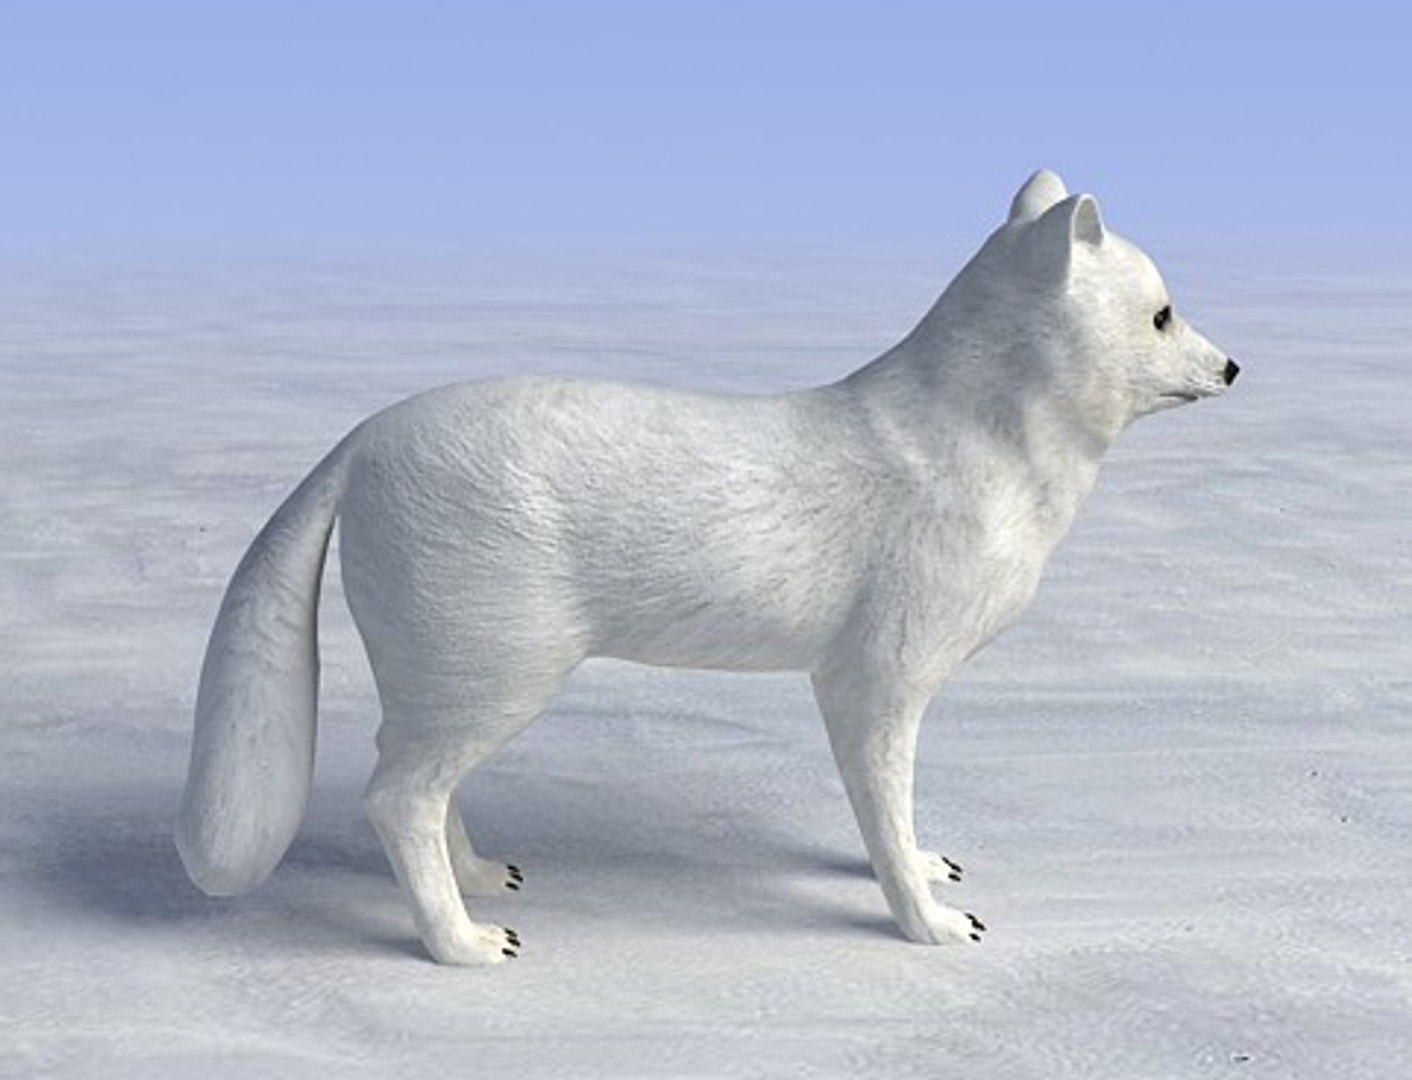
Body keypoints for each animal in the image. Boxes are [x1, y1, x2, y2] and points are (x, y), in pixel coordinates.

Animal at [177, 170, 1239, 965]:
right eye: (1162, 316)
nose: (1233, 368)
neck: (975, 449)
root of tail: (360, 439)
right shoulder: (876, 680)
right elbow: (884, 811)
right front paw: (925, 924)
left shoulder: (857, 686)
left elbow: (890, 818)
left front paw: (922, 868)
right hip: (498, 680)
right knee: (394, 800)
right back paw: (462, 942)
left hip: (453, 689)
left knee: (412, 784)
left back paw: (475, 879)